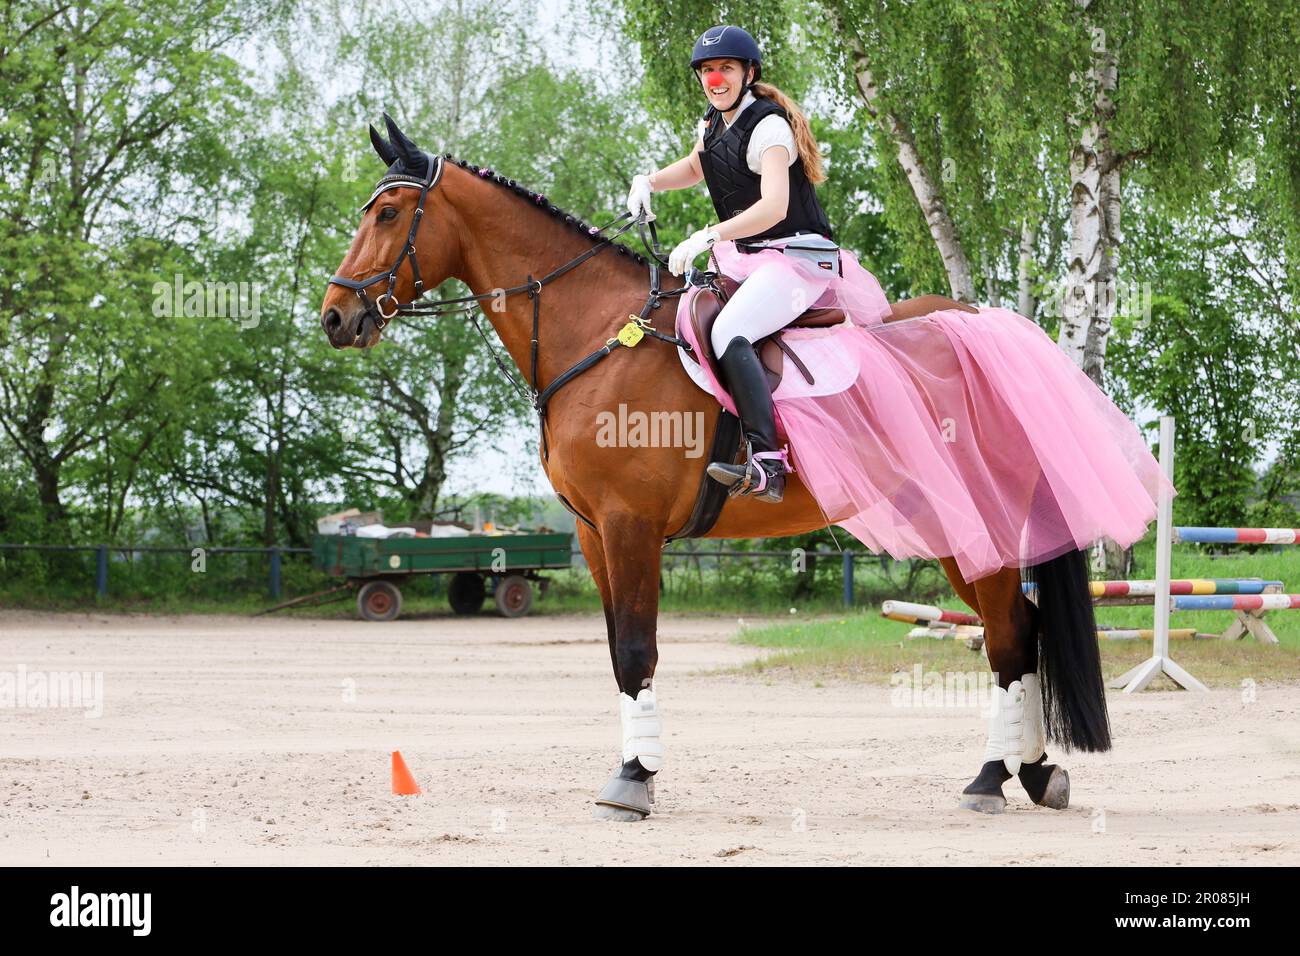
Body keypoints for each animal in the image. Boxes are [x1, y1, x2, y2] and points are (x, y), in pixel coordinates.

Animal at [320, 116, 1110, 820]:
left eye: (388, 213)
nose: (334, 318)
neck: (594, 331)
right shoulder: (594, 536)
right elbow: (619, 655)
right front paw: (633, 769)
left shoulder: (630, 525)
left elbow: (635, 648)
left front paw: (632, 783)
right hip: (951, 526)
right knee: (1019, 632)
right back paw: (1032, 774)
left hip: (978, 520)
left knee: (1009, 635)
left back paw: (991, 779)